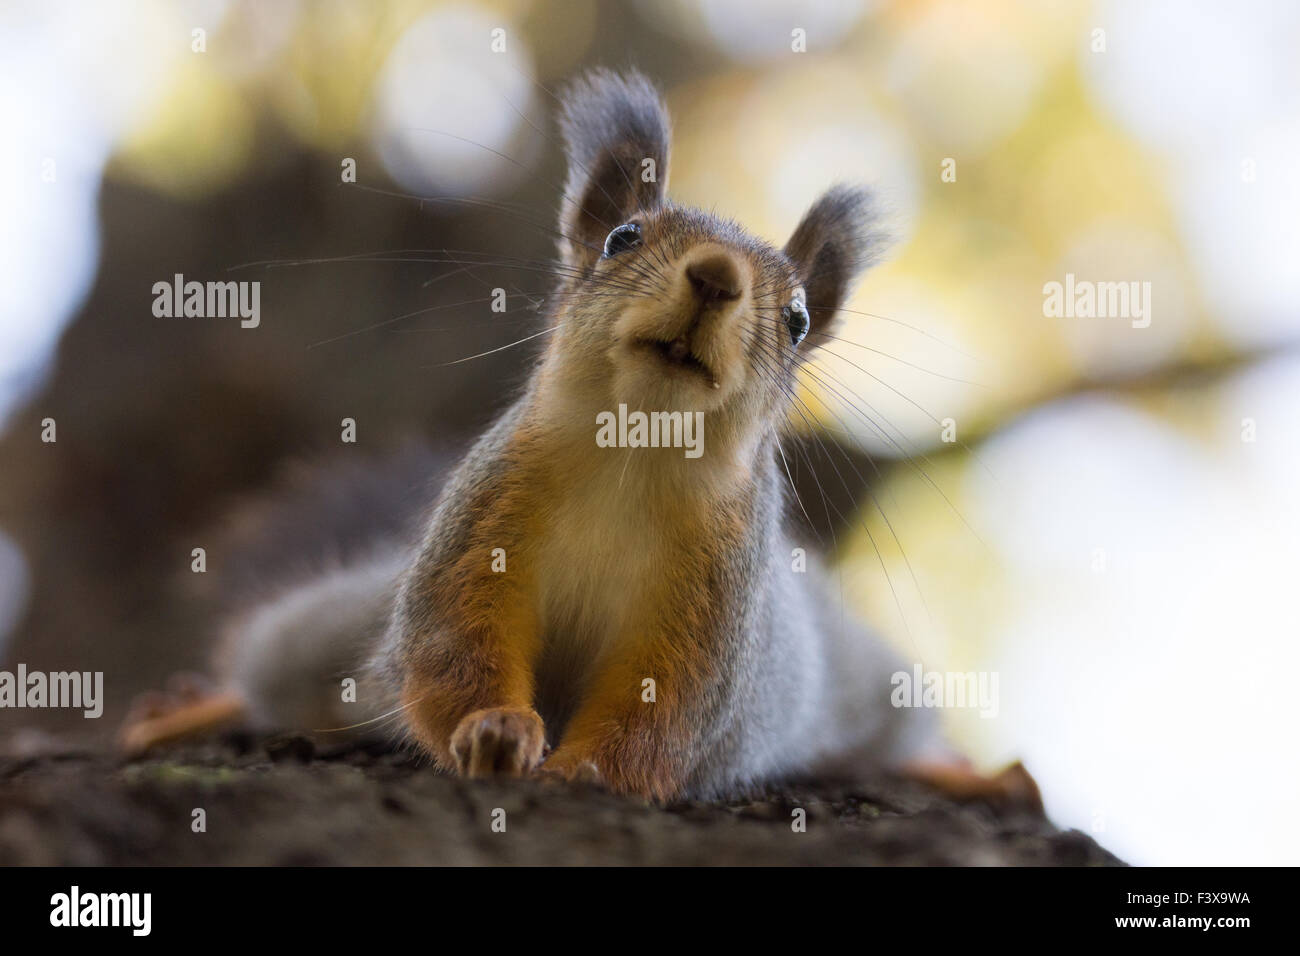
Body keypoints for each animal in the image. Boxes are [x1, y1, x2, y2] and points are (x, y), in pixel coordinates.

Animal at [121, 70, 1039, 809]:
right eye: (622, 239)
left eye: (799, 319)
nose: (715, 276)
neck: (632, 454)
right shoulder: (481, 527)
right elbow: (449, 655)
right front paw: (495, 730)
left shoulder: (716, 608)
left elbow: (662, 719)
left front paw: (581, 772)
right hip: (332, 626)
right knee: (276, 662)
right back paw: (182, 712)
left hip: (868, 683)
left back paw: (972, 774)